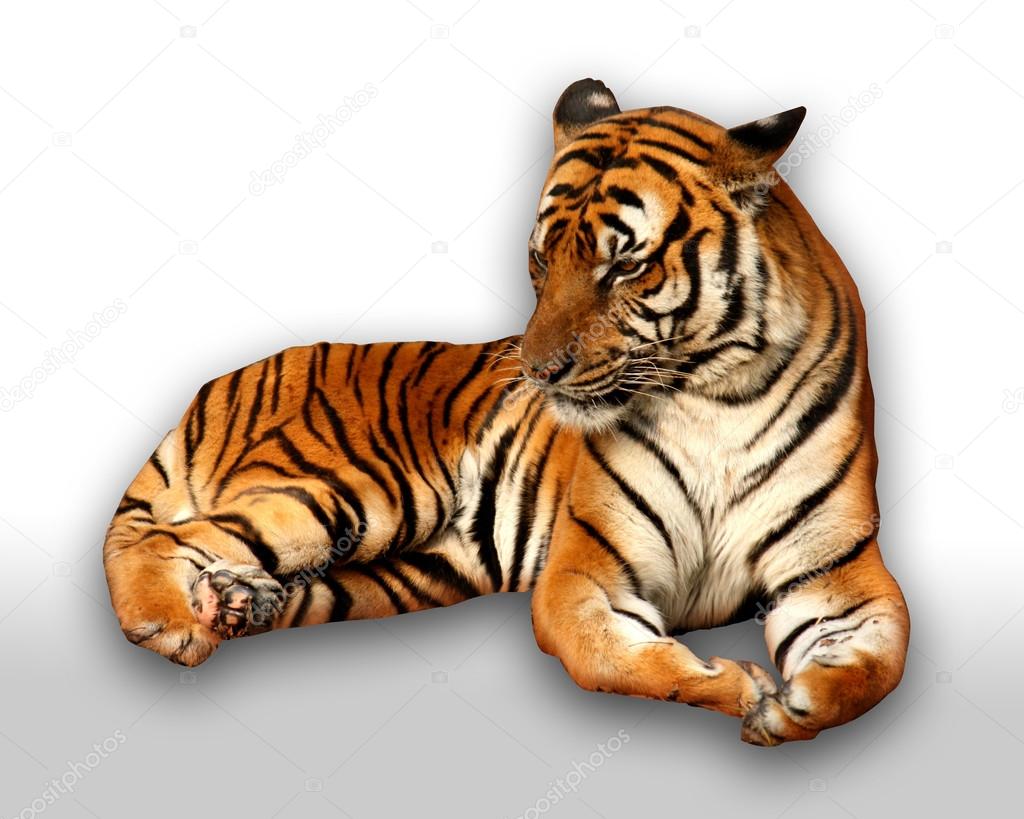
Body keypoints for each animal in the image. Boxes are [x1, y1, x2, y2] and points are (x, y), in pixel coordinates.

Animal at [103, 78, 910, 746]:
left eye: (624, 265)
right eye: (542, 260)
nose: (539, 372)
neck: (714, 396)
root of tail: (218, 383)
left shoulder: (836, 571)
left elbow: (881, 663)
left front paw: (794, 706)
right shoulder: (587, 570)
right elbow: (609, 658)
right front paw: (739, 687)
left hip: (408, 570)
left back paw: (236, 603)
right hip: (356, 490)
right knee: (159, 540)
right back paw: (171, 622)